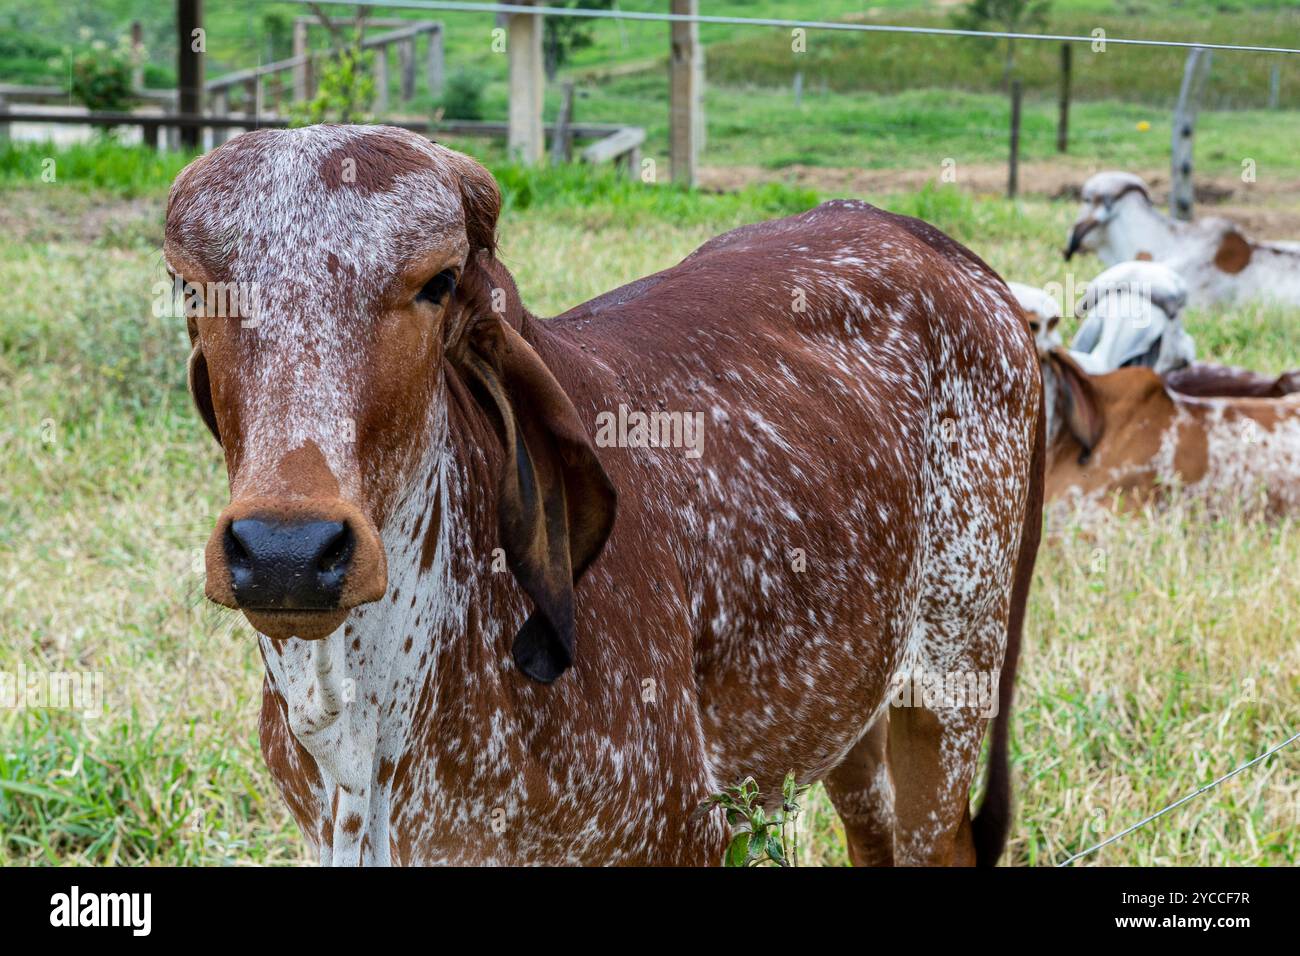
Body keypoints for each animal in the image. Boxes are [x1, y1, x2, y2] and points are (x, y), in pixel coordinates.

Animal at [166, 124, 1044, 867]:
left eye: (439, 282)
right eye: (192, 292)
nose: (285, 553)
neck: (365, 723)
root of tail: (935, 244)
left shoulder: (682, 836)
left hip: (950, 687)